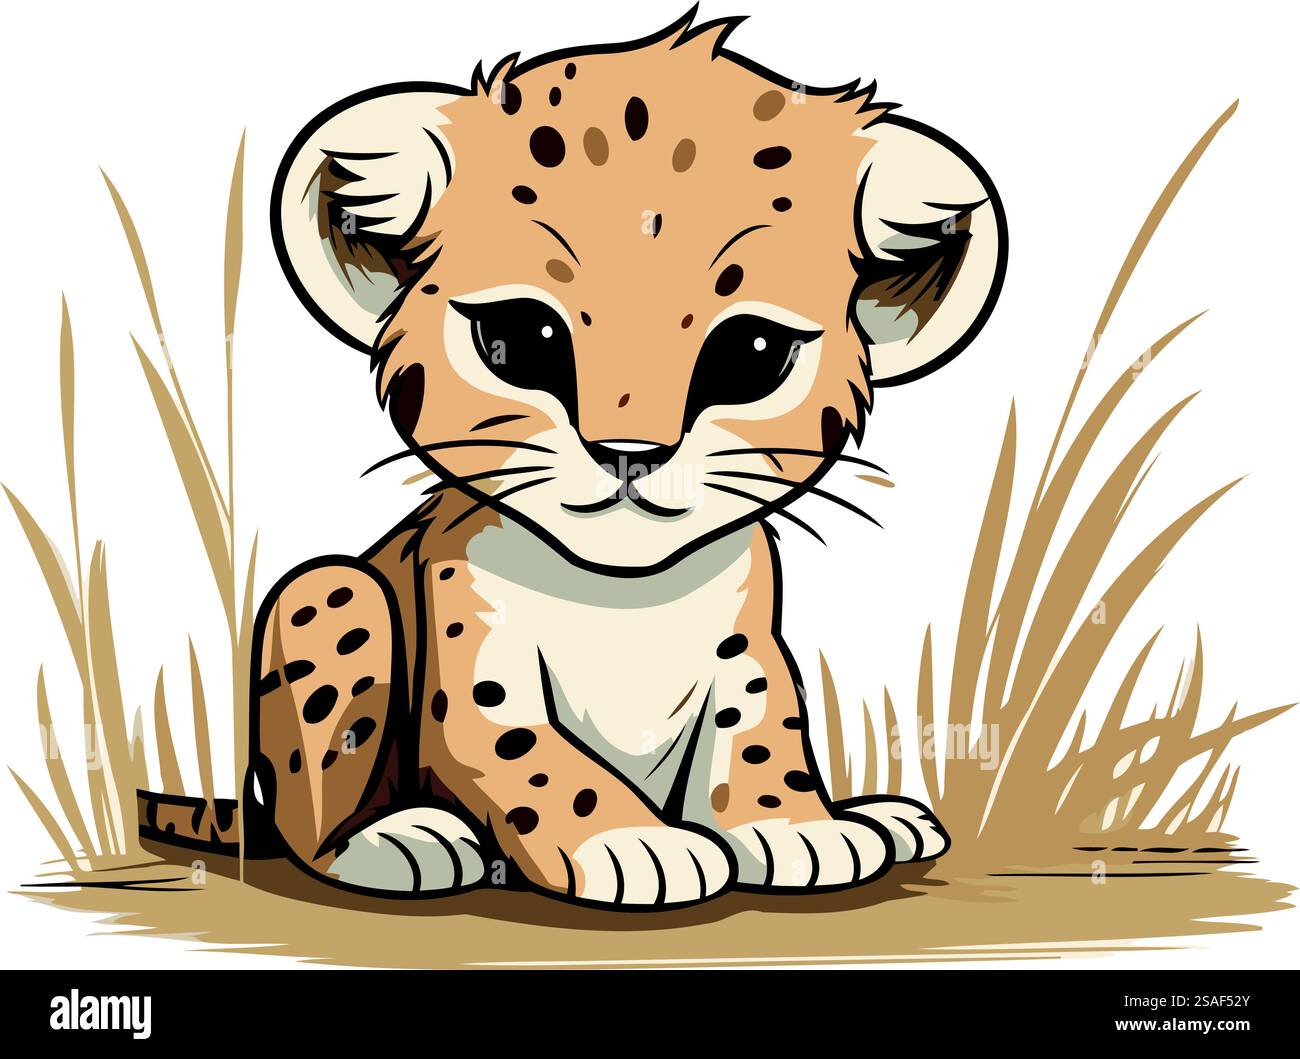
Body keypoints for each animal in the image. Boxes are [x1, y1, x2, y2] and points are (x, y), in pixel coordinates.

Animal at [141, 10, 1005, 907]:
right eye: (521, 339)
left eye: (755, 352)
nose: (630, 454)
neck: (623, 594)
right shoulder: (482, 685)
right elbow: (539, 762)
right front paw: (632, 841)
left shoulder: (747, 653)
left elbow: (764, 735)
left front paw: (795, 825)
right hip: (332, 594)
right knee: (307, 817)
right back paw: (398, 838)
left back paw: (888, 816)